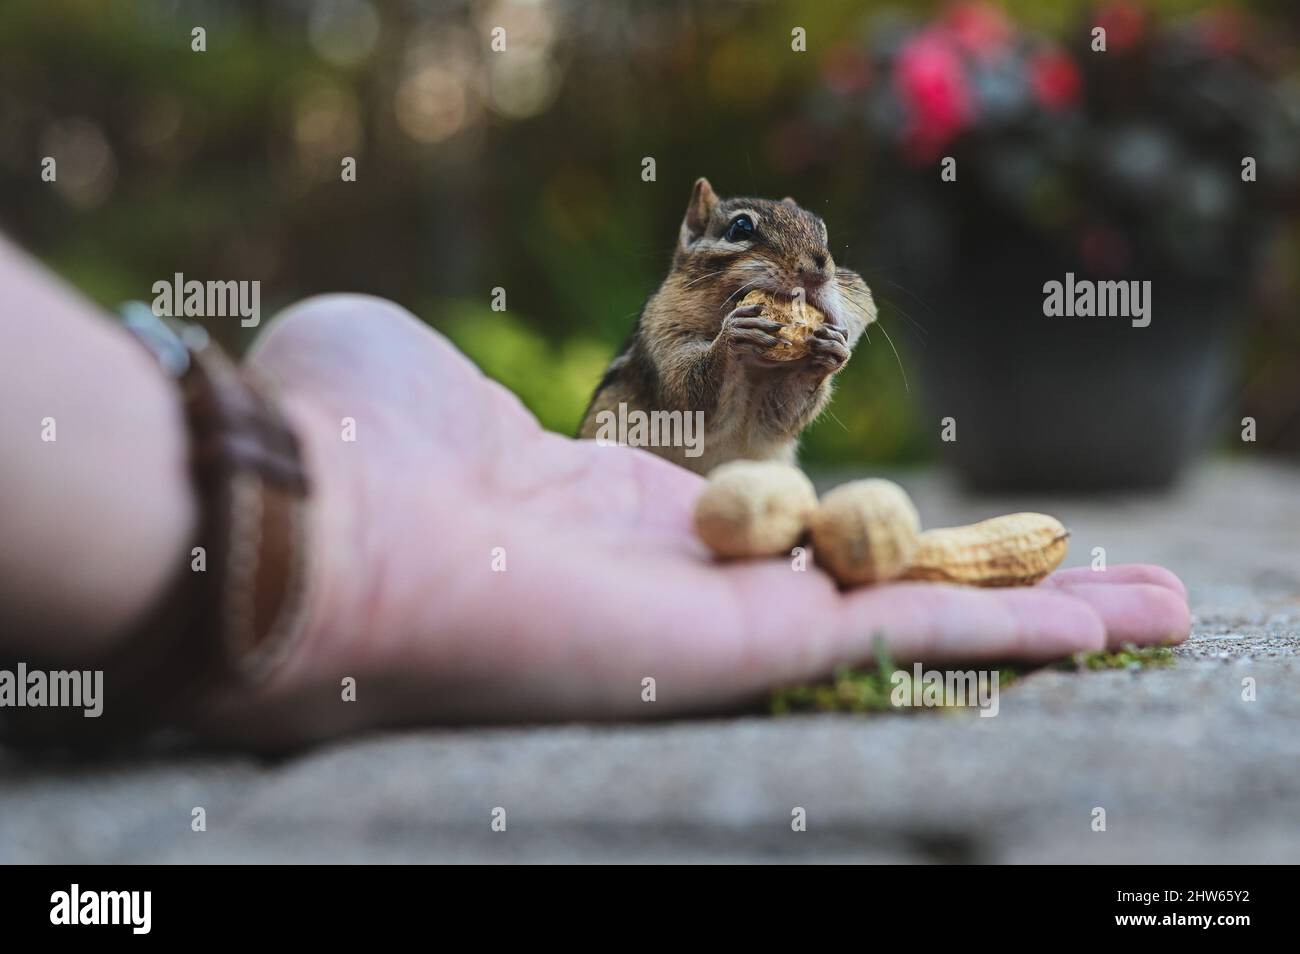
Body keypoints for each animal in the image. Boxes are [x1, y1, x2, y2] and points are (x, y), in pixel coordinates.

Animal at [579, 177, 876, 475]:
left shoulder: (768, 423)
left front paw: (827, 354)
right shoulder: (663, 340)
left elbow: (780, 416)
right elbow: (689, 392)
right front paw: (732, 338)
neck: (755, 366)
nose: (817, 272)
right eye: (739, 228)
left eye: (822, 232)